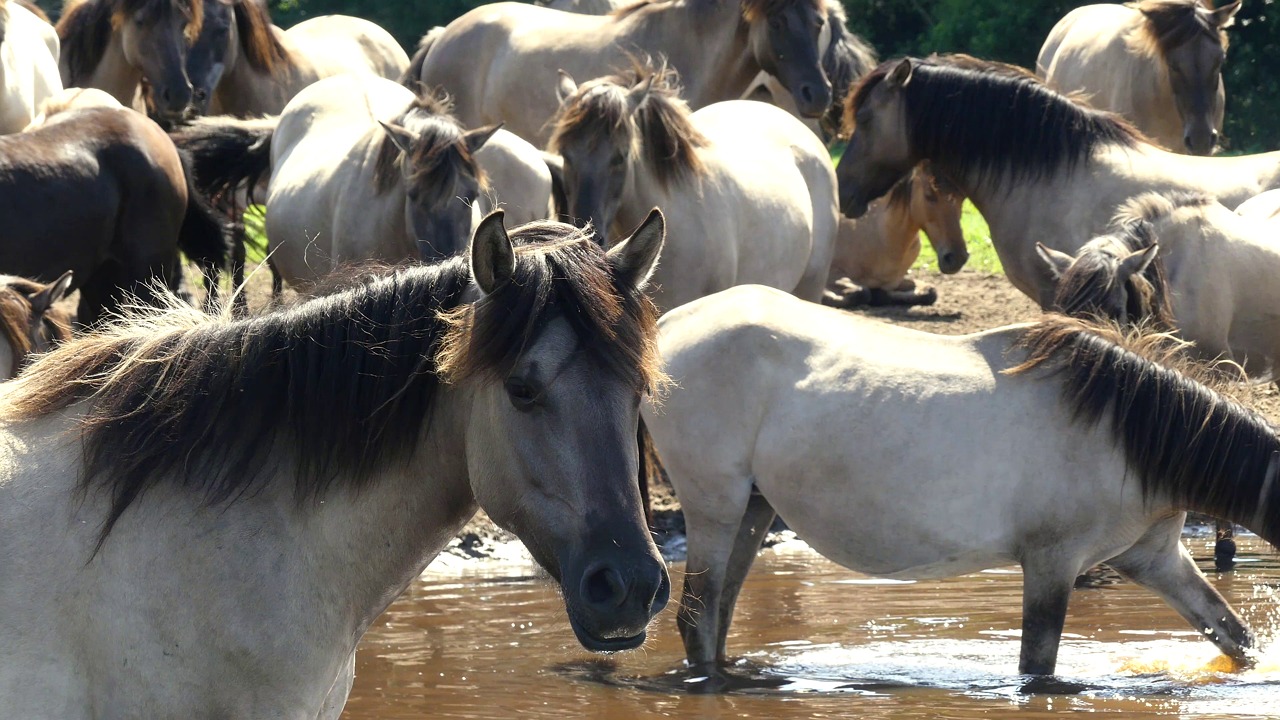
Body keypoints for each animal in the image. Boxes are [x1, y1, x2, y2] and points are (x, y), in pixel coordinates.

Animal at [643, 282, 1279, 678]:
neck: (1124, 431)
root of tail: (669, 325)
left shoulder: (1155, 558)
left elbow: (1236, 637)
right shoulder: (1052, 564)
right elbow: (1037, 668)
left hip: (755, 509)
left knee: (719, 615)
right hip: (714, 504)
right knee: (697, 617)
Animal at [825, 166, 967, 308]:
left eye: (963, 197)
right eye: (929, 195)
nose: (957, 258)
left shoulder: (896, 280)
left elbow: (930, 292)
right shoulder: (832, 274)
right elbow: (860, 292)